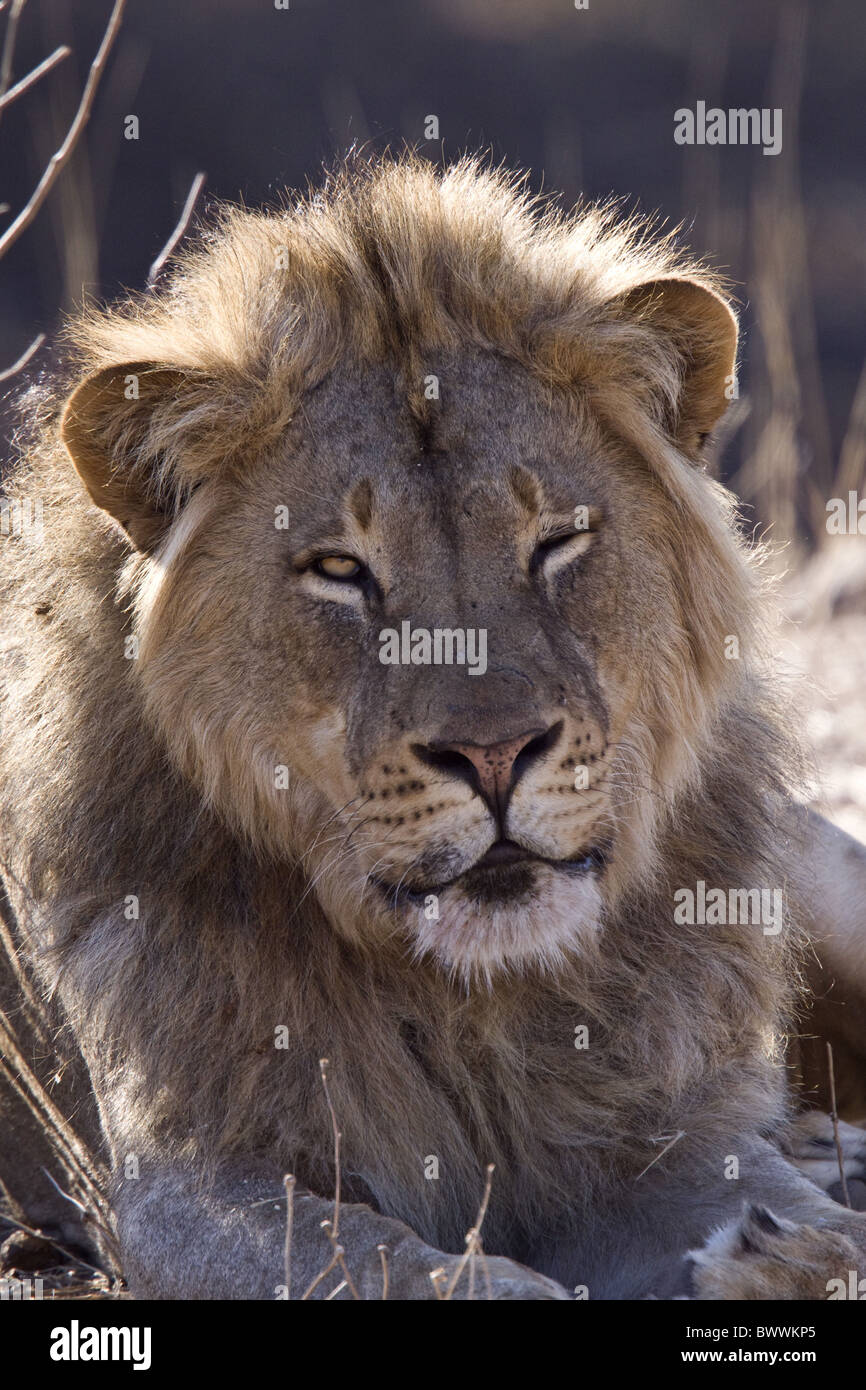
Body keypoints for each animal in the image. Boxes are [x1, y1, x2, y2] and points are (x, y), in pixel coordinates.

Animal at [1, 155, 865, 1300]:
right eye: (339, 569)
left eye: (556, 540)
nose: (494, 755)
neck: (467, 996)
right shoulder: (184, 1184)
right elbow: (409, 1268)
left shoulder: (652, 1131)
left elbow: (800, 1212)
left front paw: (791, 1252)